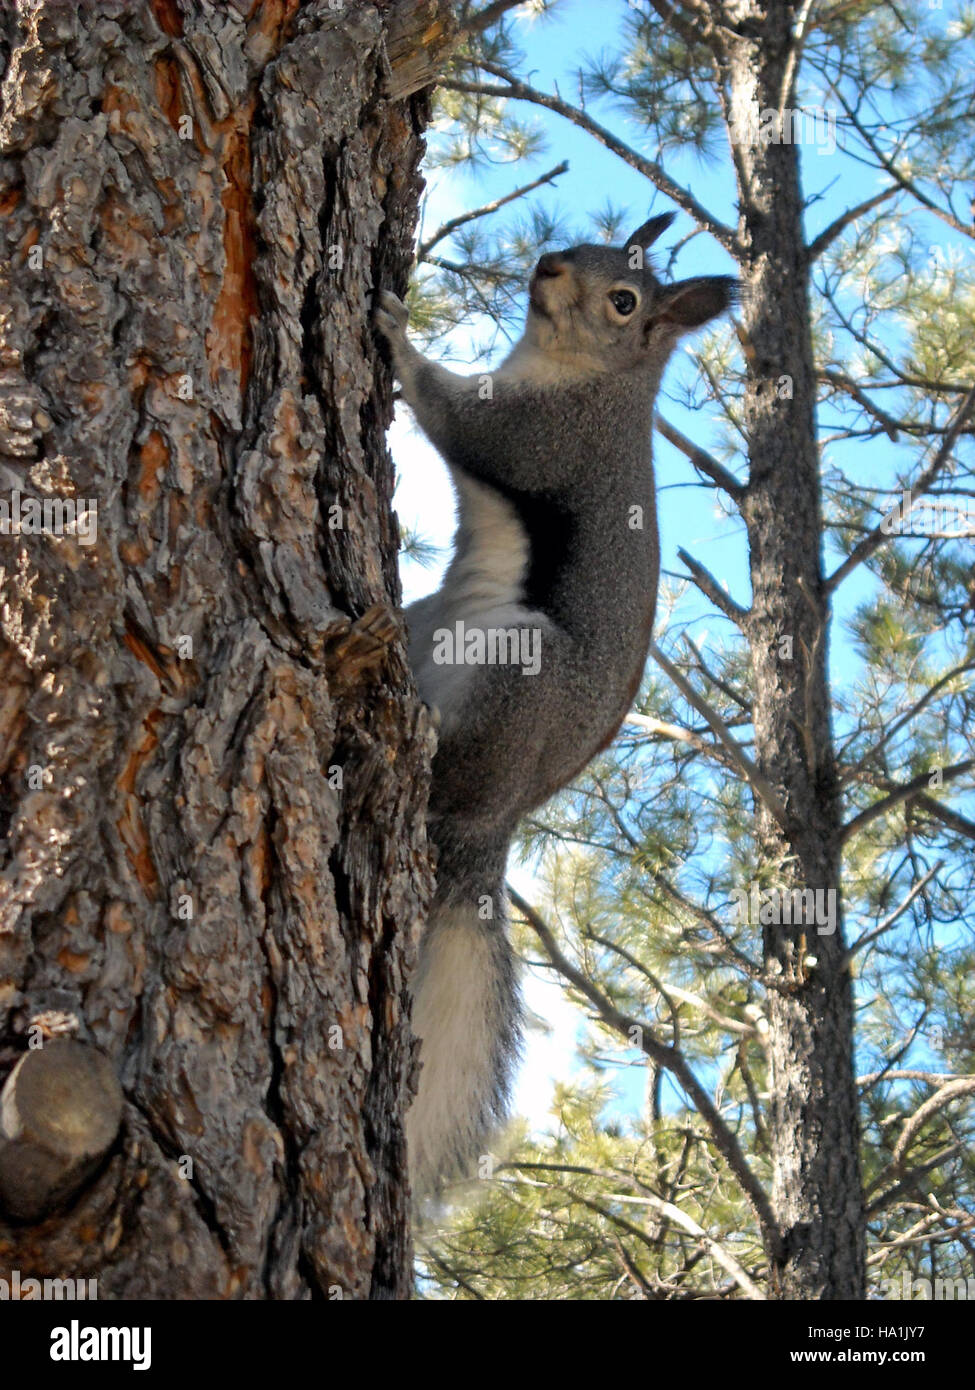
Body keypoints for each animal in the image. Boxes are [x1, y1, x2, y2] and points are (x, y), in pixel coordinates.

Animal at [375, 211, 736, 1198]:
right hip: (434, 627)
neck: (583, 373)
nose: (545, 266)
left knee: (450, 774)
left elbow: (455, 416)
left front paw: (394, 329)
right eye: (589, 244)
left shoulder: (542, 436)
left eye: (623, 301)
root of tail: (494, 825)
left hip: (519, 674)